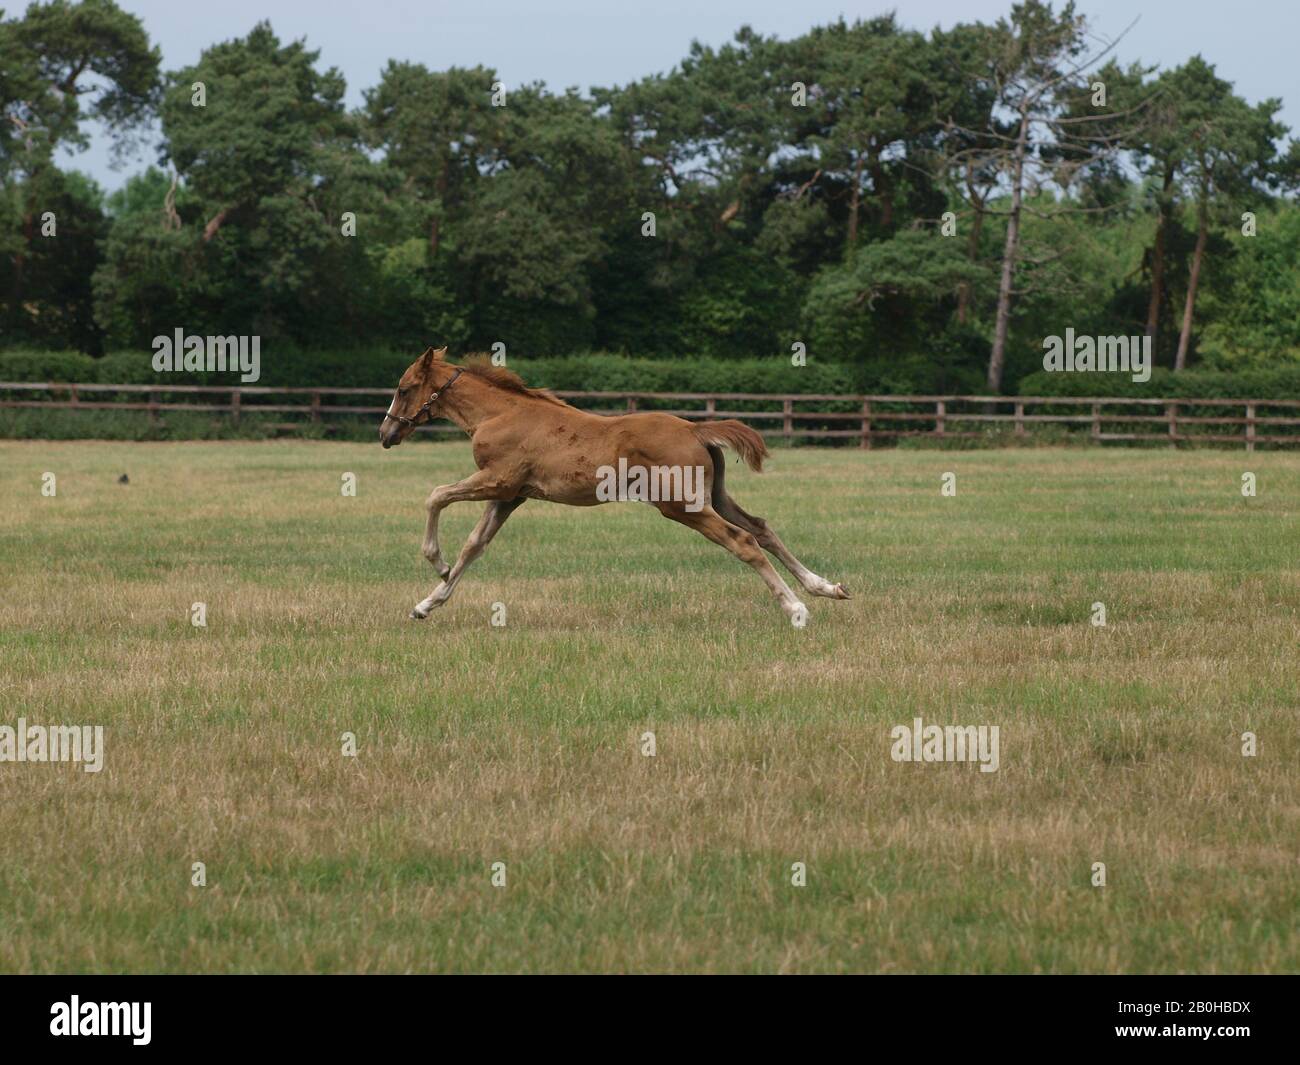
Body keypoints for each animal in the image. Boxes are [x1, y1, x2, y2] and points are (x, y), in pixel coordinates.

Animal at [379, 347, 850, 624]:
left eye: (403, 388)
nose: (386, 434)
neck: (500, 414)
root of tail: (695, 429)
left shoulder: (497, 480)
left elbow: (435, 496)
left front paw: (435, 562)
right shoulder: (510, 496)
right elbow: (474, 546)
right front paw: (427, 603)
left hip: (681, 506)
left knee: (743, 540)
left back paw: (796, 608)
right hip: (712, 496)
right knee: (762, 528)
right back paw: (825, 587)